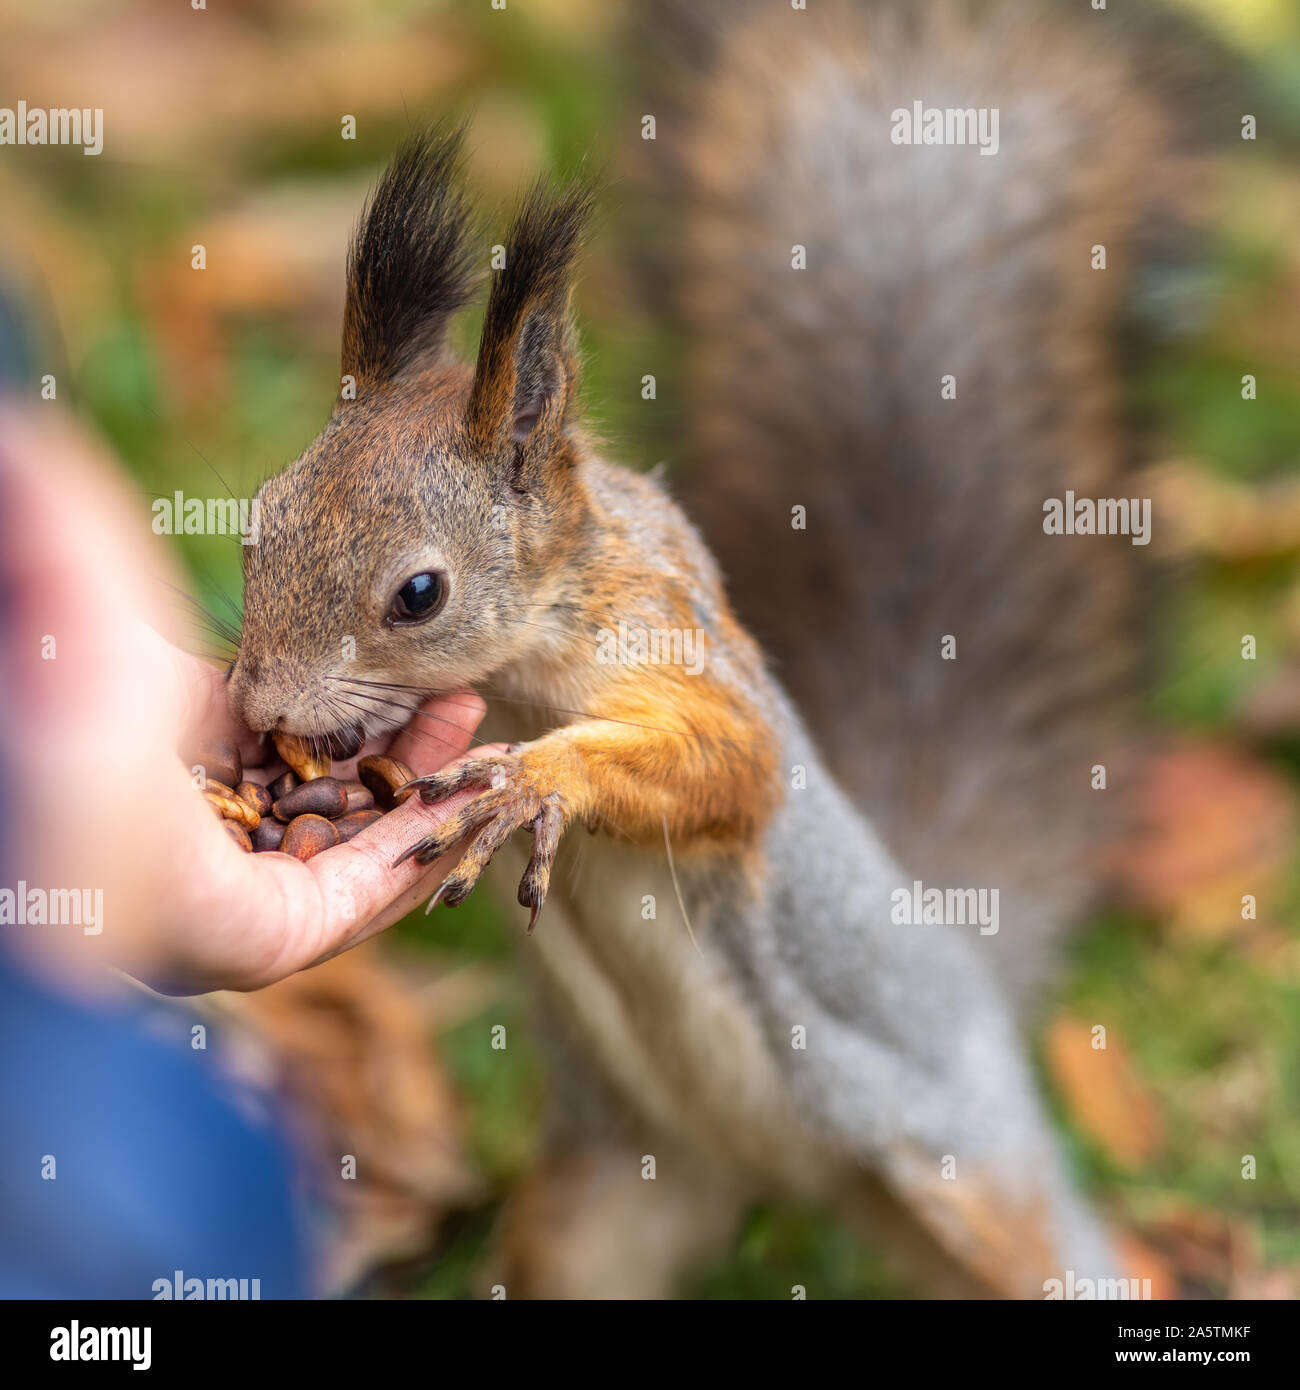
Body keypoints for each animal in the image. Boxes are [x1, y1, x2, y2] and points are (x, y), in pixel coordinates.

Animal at [227, 0, 1213, 1295]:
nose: (259, 710)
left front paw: (534, 783)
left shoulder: (677, 640)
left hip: (978, 1182)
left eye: (419, 594)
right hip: (604, 1210)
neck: (520, 672)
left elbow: (731, 761)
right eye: (259, 519)